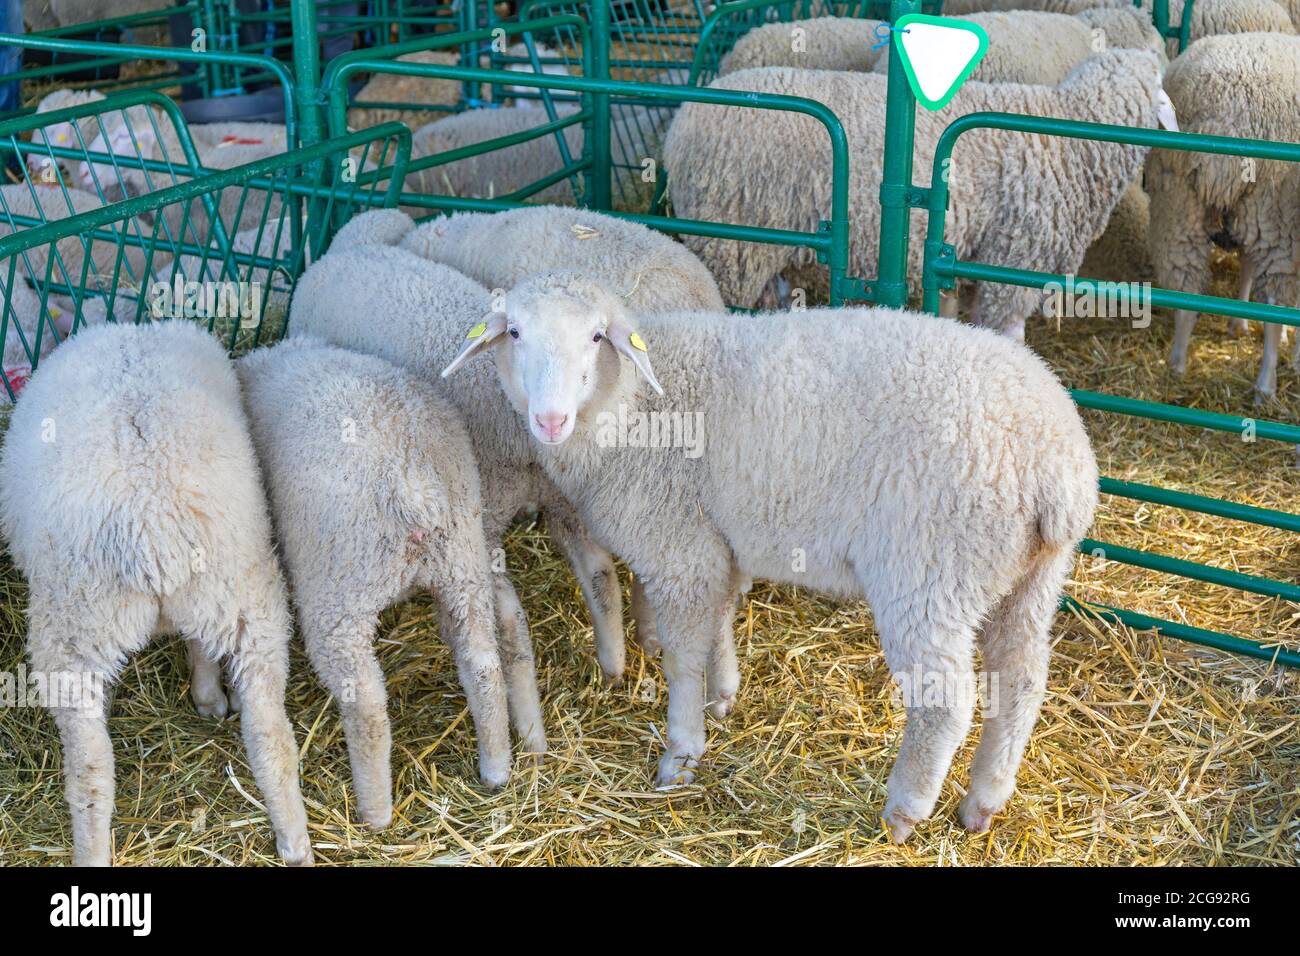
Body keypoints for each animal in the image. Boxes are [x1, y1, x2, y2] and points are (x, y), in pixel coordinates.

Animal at [0, 321, 312, 866]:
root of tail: (154, 521)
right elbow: (200, 646)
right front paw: (208, 697)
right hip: (244, 595)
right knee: (270, 733)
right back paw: (294, 840)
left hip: (73, 630)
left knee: (91, 769)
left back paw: (90, 851)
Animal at [234, 338, 512, 825]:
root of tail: (413, 490)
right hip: (464, 568)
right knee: (483, 665)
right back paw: (495, 767)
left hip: (340, 596)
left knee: (366, 705)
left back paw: (375, 810)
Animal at [440, 270, 1099, 840]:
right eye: (515, 332)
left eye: (597, 336)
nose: (549, 420)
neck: (634, 404)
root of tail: (1059, 467)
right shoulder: (713, 544)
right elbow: (718, 624)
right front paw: (723, 695)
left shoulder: (677, 546)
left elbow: (682, 658)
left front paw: (681, 751)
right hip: (1028, 577)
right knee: (1022, 680)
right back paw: (984, 801)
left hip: (930, 570)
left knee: (946, 701)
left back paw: (904, 811)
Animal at [1147, 32, 1300, 399]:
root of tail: (1223, 116)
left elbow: (1246, 265)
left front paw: (1238, 322)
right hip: (1273, 210)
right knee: (1274, 302)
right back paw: (1265, 386)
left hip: (1177, 203)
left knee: (1185, 285)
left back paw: (1177, 363)